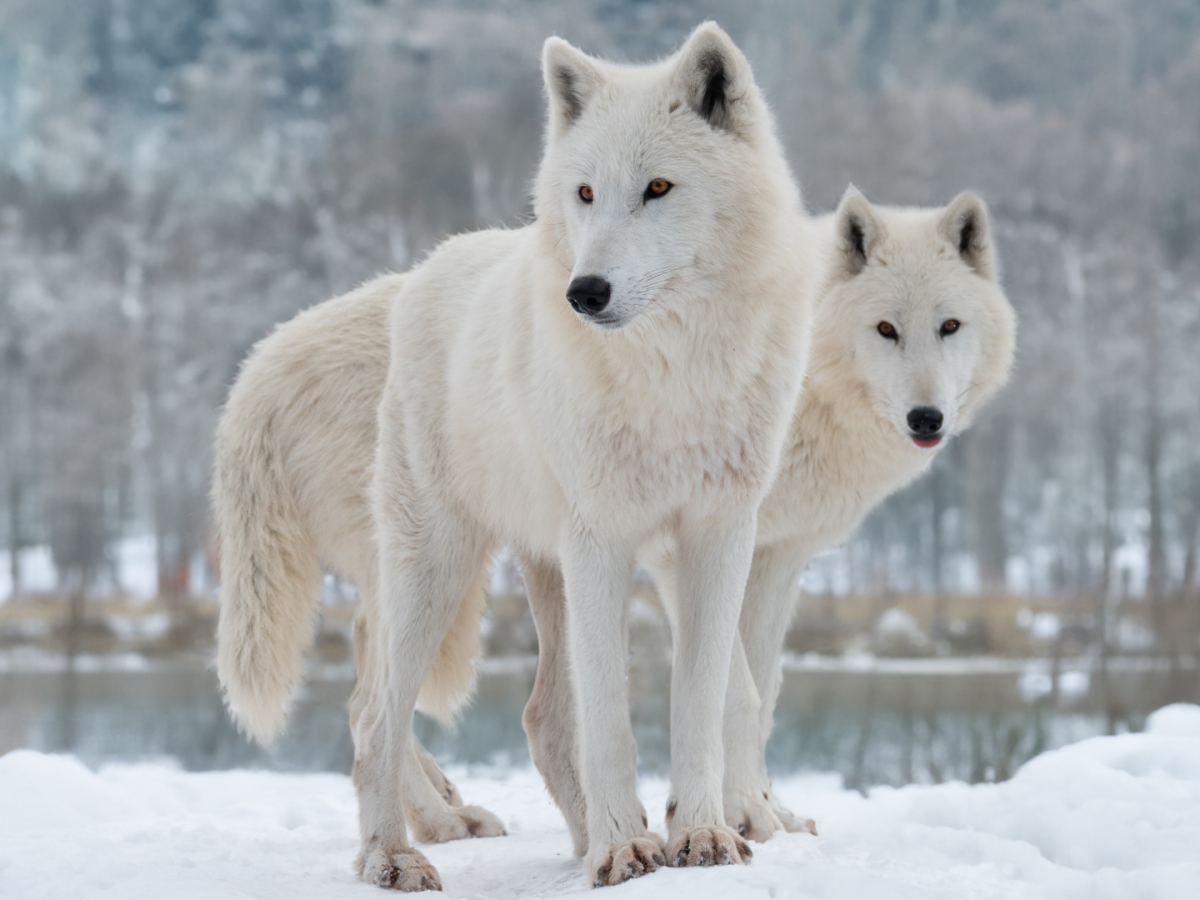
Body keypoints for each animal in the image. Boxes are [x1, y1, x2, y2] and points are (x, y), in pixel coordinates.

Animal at [213, 22, 815, 891]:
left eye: (658, 188)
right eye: (586, 193)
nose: (585, 292)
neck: (673, 375)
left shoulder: (717, 537)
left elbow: (702, 703)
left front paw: (697, 835)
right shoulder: (604, 541)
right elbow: (612, 720)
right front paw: (626, 852)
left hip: (535, 570)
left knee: (534, 716)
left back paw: (576, 838)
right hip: (436, 568)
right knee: (374, 716)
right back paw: (395, 854)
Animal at [515, 186, 1017, 847]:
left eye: (950, 326)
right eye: (885, 329)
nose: (926, 418)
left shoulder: (779, 558)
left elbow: (766, 685)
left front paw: (765, 811)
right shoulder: (683, 550)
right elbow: (738, 691)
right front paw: (743, 814)